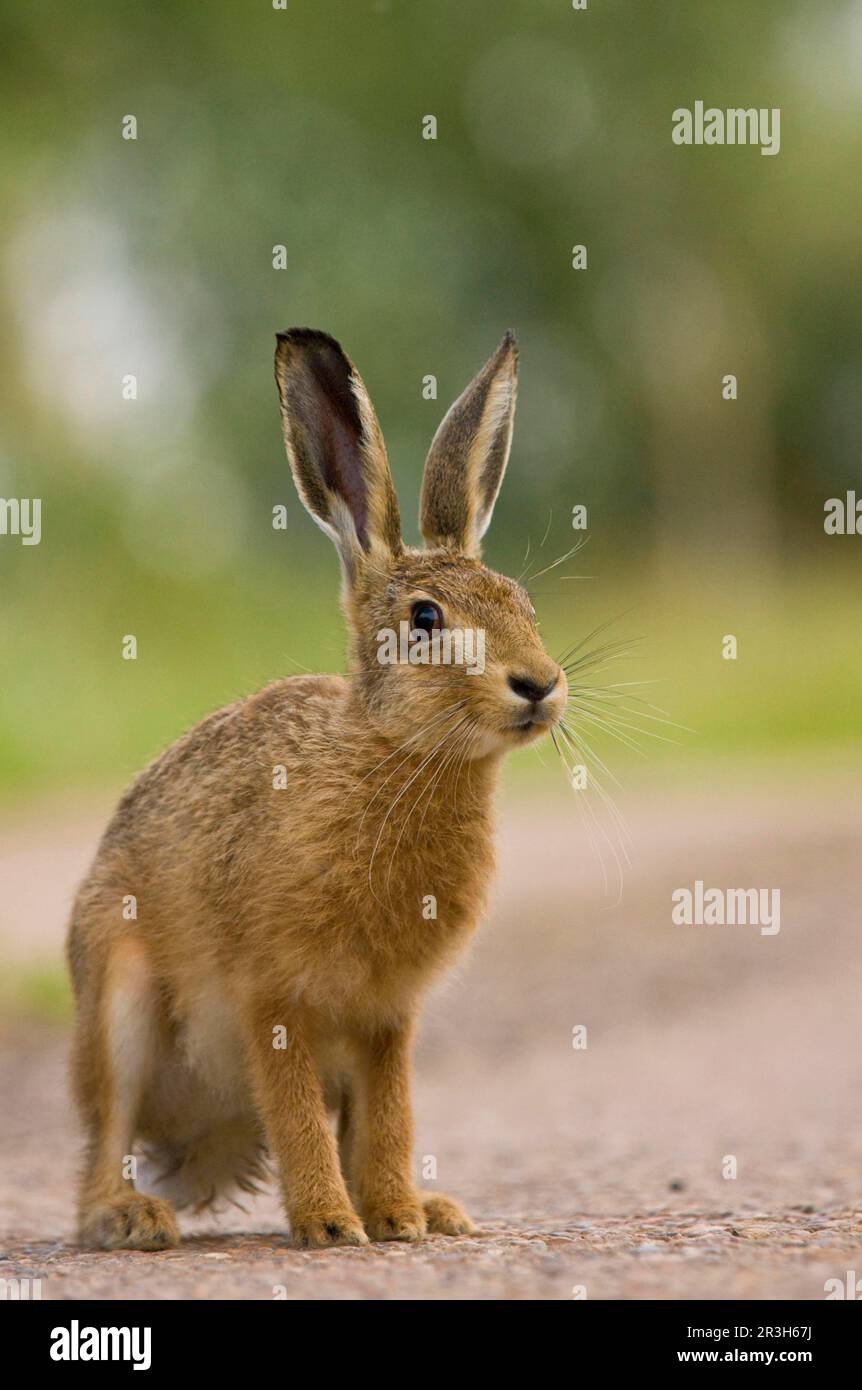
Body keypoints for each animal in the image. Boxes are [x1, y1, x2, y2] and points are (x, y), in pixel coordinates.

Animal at [66, 327, 568, 1250]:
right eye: (425, 619)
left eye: (523, 602)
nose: (541, 684)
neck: (393, 756)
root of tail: (201, 1147)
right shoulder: (274, 998)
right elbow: (297, 1114)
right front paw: (333, 1226)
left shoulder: (387, 1020)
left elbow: (390, 1118)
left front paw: (398, 1216)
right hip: (118, 996)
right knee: (105, 1134)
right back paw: (129, 1218)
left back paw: (430, 1210)